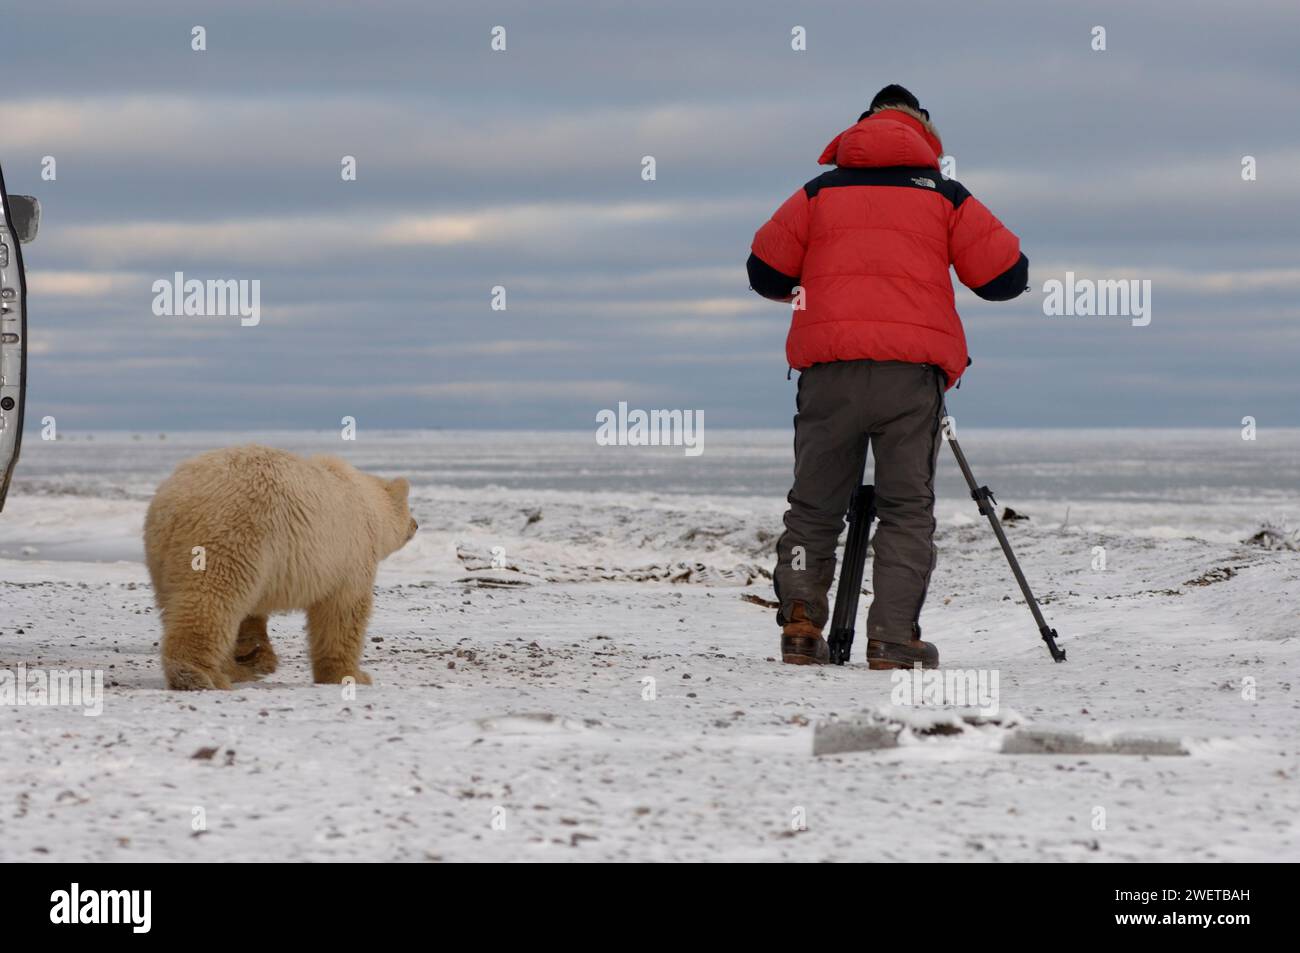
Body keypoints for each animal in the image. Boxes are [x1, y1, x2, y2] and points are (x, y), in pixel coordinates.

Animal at [144, 445, 417, 690]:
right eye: (409, 508)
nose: (416, 525)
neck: (369, 503)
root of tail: (175, 501)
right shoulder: (350, 555)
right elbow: (343, 611)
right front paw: (352, 675)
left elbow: (252, 613)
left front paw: (254, 656)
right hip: (230, 534)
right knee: (213, 598)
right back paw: (198, 674)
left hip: (163, 555)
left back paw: (233, 671)